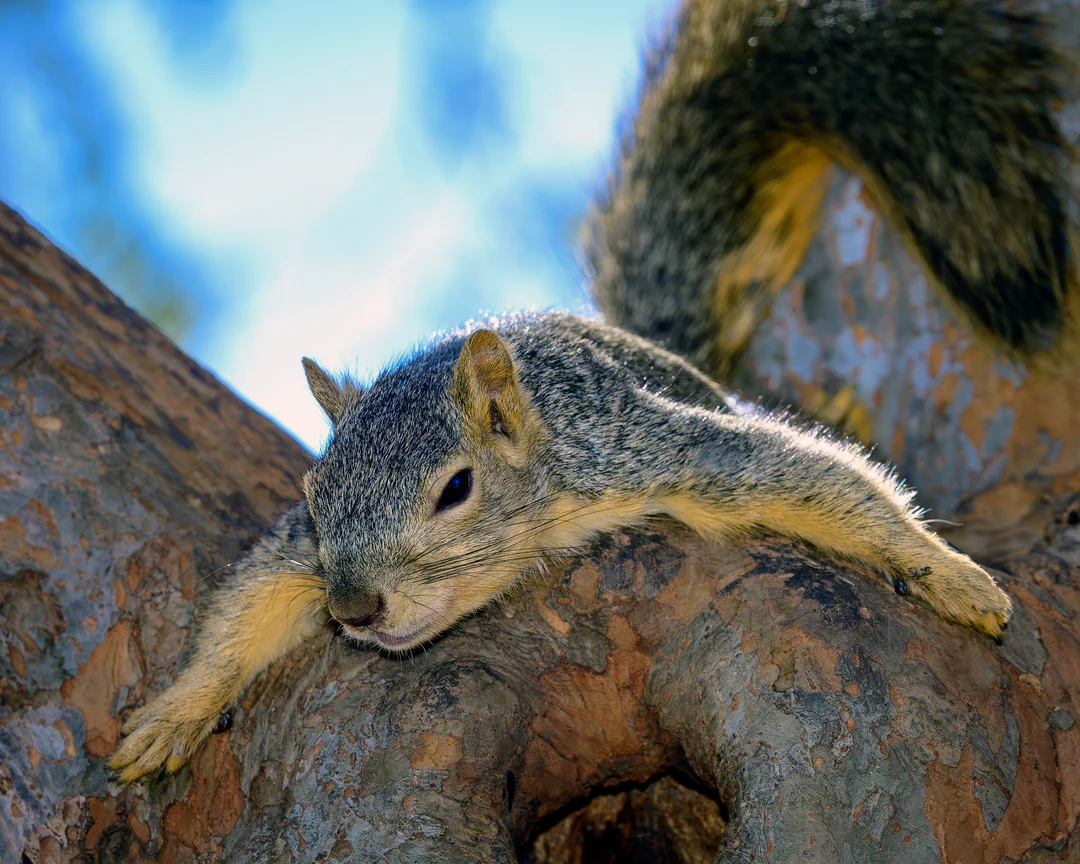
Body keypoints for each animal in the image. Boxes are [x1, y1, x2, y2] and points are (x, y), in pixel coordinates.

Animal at [109, 312, 1011, 783]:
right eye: (312, 493)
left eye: (456, 489)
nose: (353, 608)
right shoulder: (301, 553)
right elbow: (247, 606)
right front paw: (172, 716)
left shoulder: (641, 453)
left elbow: (812, 478)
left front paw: (953, 577)